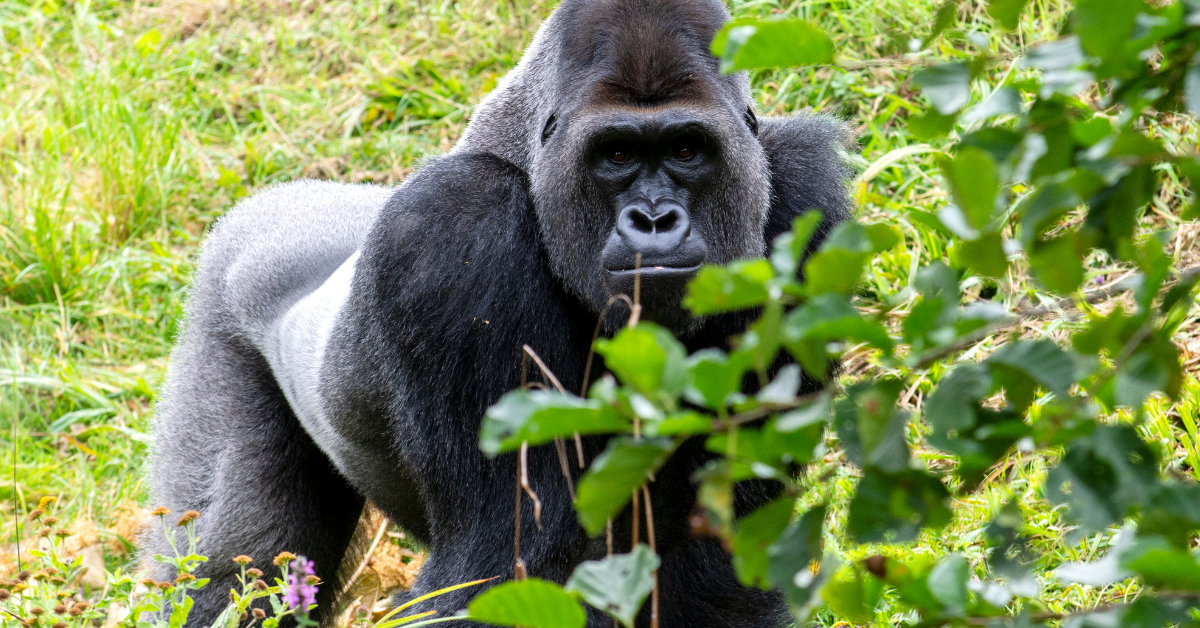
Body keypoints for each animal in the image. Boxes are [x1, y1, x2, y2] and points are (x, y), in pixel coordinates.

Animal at [143, 0, 852, 626]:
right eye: (617, 155)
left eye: (685, 150)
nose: (654, 220)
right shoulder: (456, 229)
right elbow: (509, 564)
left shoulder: (804, 199)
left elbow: (720, 547)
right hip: (220, 301)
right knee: (228, 575)